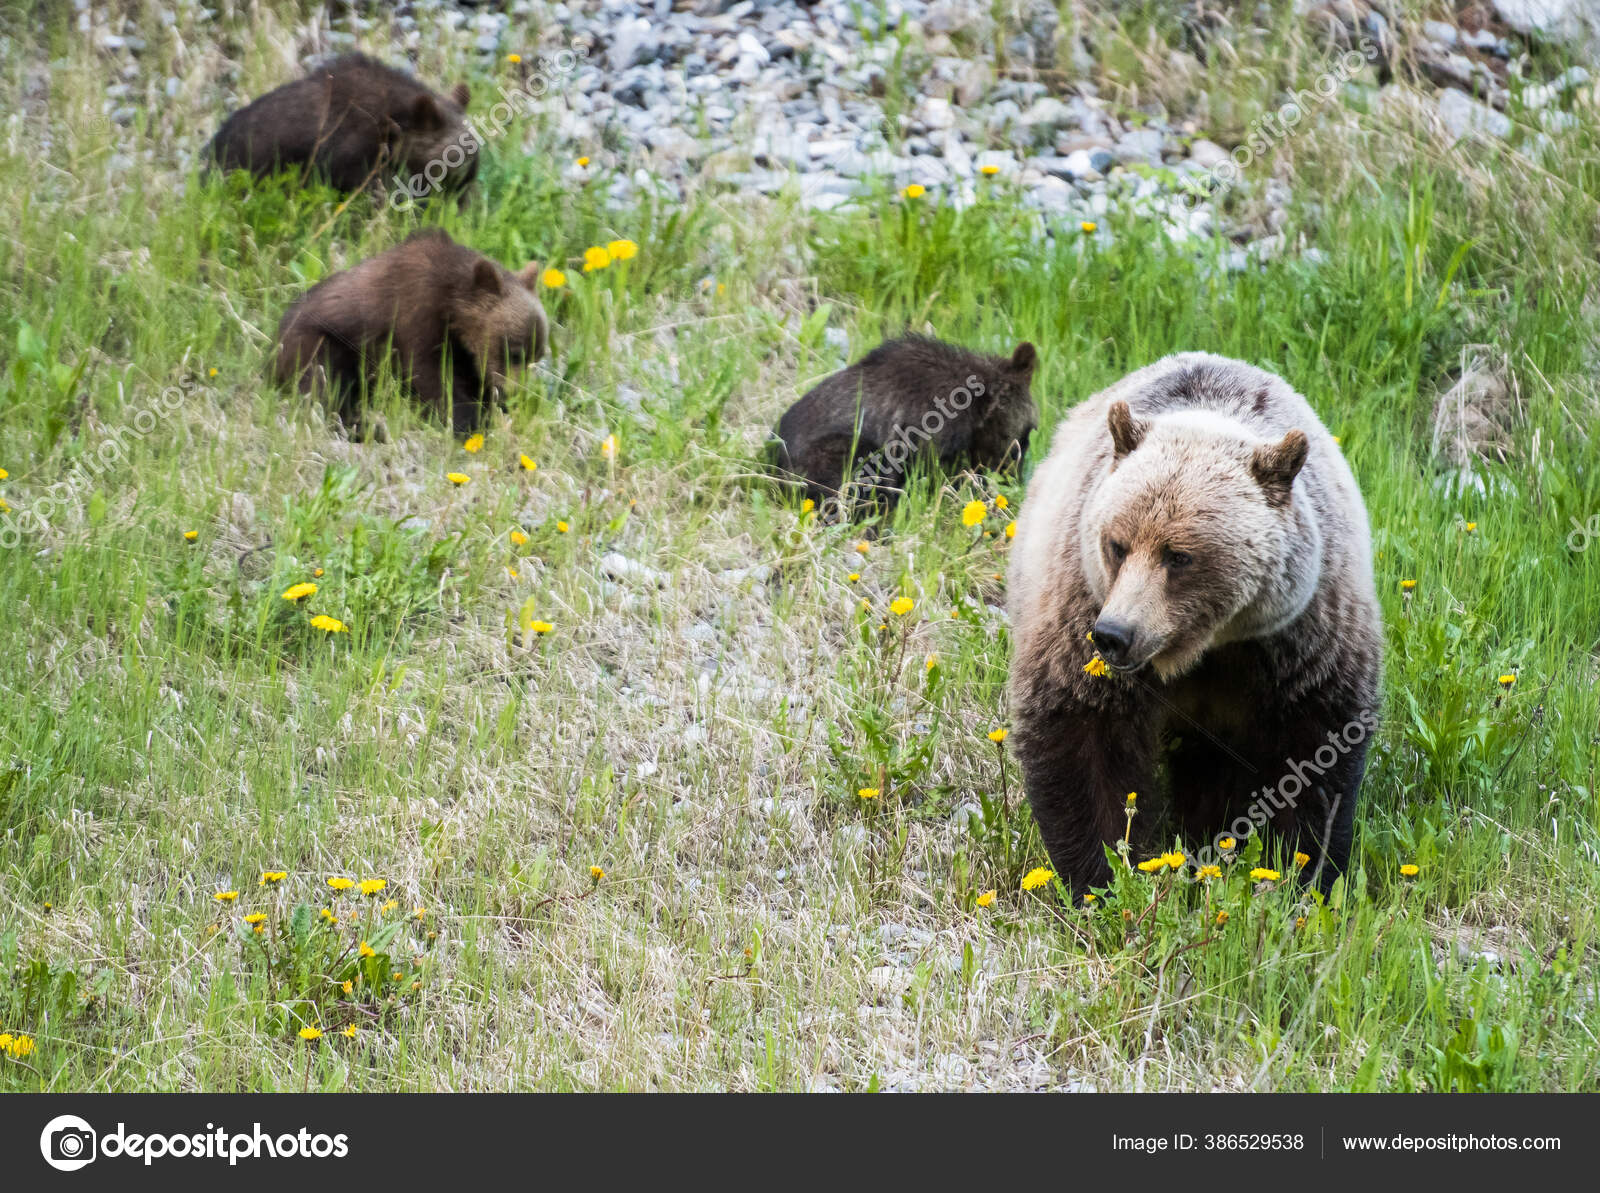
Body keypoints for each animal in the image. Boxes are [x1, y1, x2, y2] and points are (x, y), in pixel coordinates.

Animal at [272, 229, 548, 433]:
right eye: (514, 352)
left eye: (537, 356)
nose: (515, 394)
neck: (451, 307)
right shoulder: (415, 312)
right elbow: (431, 374)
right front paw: (469, 421)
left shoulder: (463, 350)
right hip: (319, 342)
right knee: (324, 381)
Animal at [1007, 352, 1381, 899]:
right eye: (1116, 544)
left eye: (1178, 556)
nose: (1114, 635)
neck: (1207, 644)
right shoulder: (1079, 601)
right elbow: (1082, 730)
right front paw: (1102, 876)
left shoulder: (1303, 634)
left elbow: (1313, 747)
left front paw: (1300, 870)